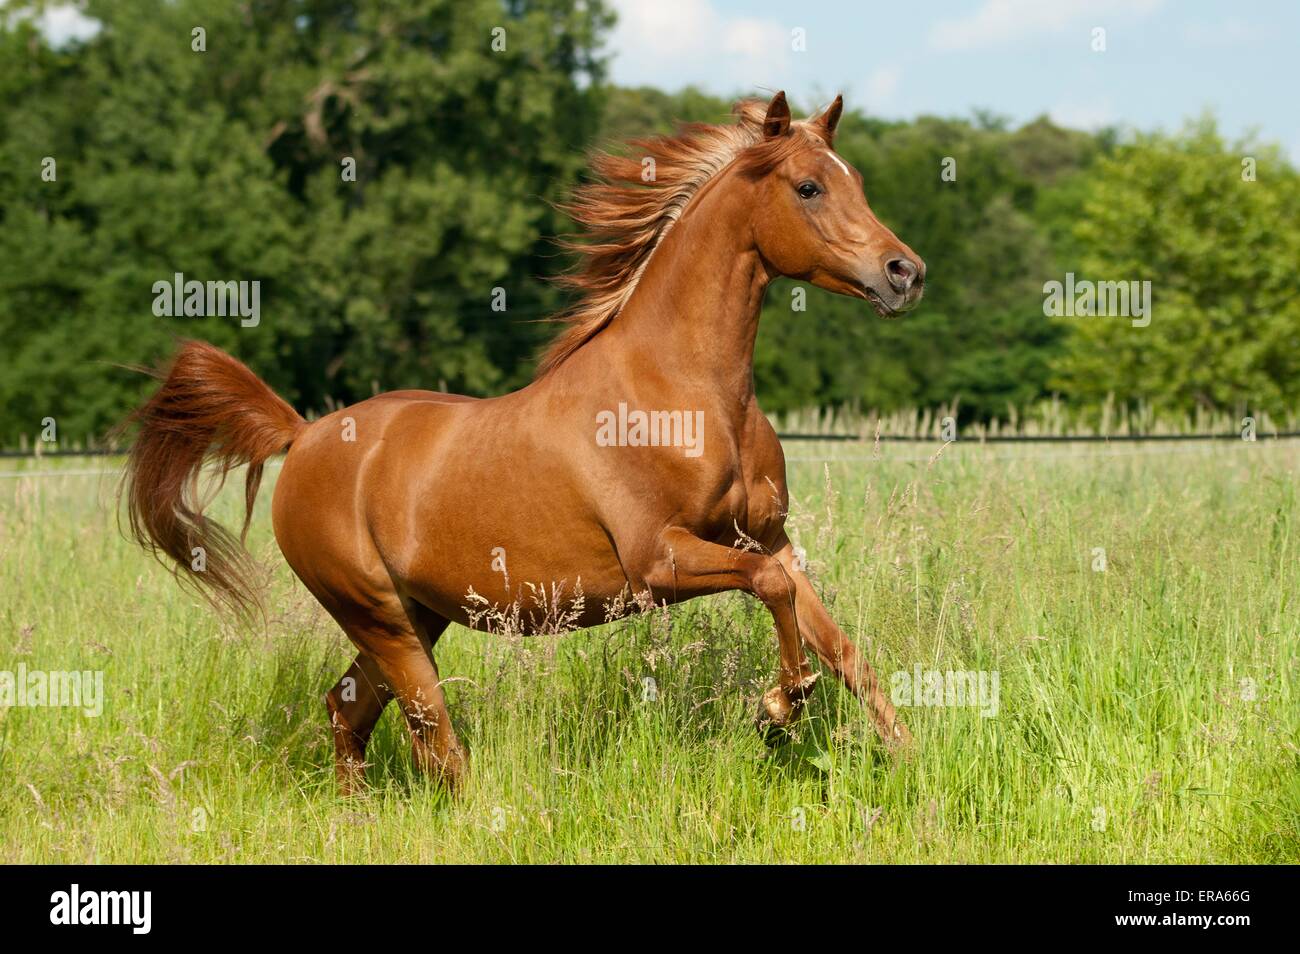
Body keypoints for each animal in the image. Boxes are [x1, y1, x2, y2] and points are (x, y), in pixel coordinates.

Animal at [122, 91, 925, 793]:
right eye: (809, 187)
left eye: (856, 181)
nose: (906, 273)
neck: (686, 394)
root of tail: (304, 434)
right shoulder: (658, 563)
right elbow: (772, 593)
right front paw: (779, 707)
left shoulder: (772, 540)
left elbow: (840, 645)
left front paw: (908, 759)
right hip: (380, 617)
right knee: (435, 744)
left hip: (417, 616)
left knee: (349, 713)